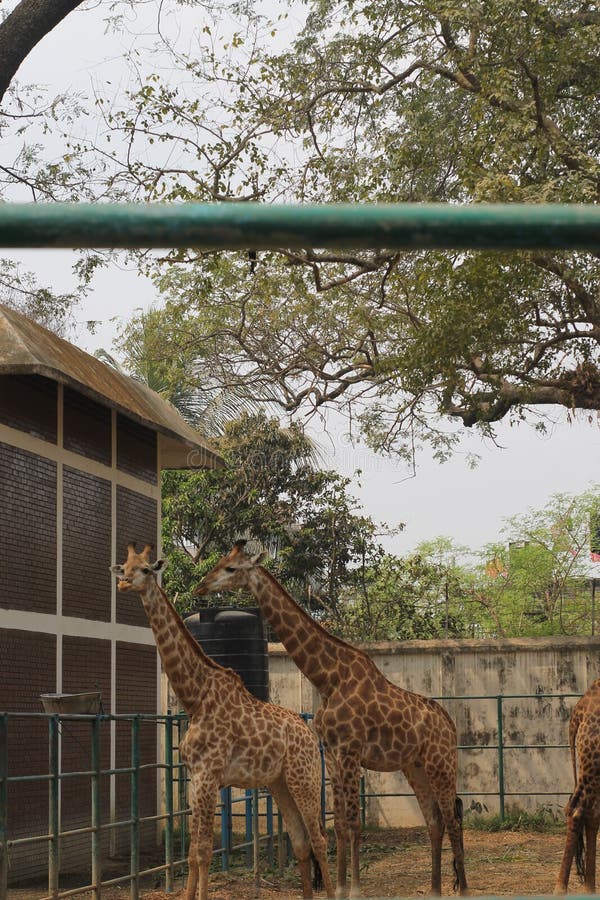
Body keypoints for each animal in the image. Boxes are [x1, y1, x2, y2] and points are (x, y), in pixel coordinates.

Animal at [111, 543, 334, 900]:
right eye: (125, 566)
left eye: (146, 569)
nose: (124, 583)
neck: (195, 697)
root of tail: (309, 733)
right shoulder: (195, 777)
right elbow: (193, 852)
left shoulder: (208, 775)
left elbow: (203, 851)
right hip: (280, 782)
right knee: (301, 841)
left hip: (305, 778)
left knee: (320, 840)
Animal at [195, 540, 468, 898]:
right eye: (219, 562)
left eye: (231, 568)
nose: (200, 586)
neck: (327, 678)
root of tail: (450, 724)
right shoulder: (335, 755)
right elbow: (338, 824)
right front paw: (338, 887)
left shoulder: (350, 752)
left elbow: (353, 823)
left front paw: (354, 889)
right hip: (415, 766)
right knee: (435, 819)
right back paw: (435, 889)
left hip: (441, 762)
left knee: (453, 817)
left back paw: (463, 888)